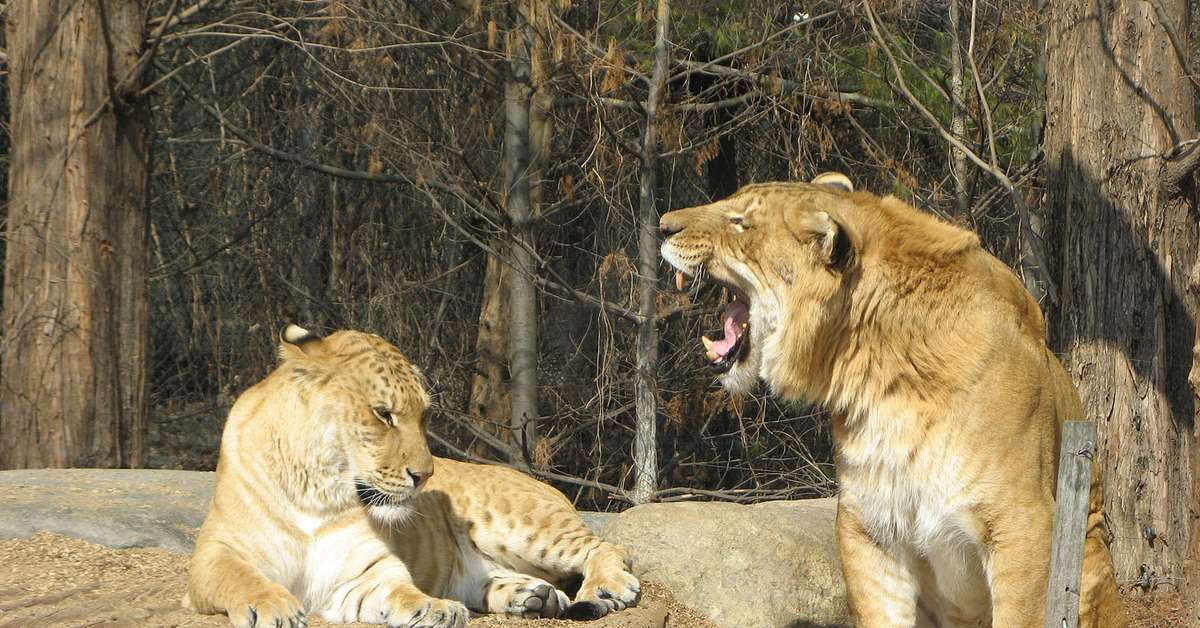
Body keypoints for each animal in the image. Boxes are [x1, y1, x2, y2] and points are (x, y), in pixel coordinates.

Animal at [184, 326, 639, 628]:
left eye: (425, 416)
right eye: (383, 414)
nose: (425, 475)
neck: (316, 489)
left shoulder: (366, 570)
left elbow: (399, 588)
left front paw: (435, 608)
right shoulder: (214, 553)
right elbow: (239, 575)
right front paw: (273, 605)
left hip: (523, 525)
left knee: (607, 547)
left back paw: (605, 588)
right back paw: (535, 597)